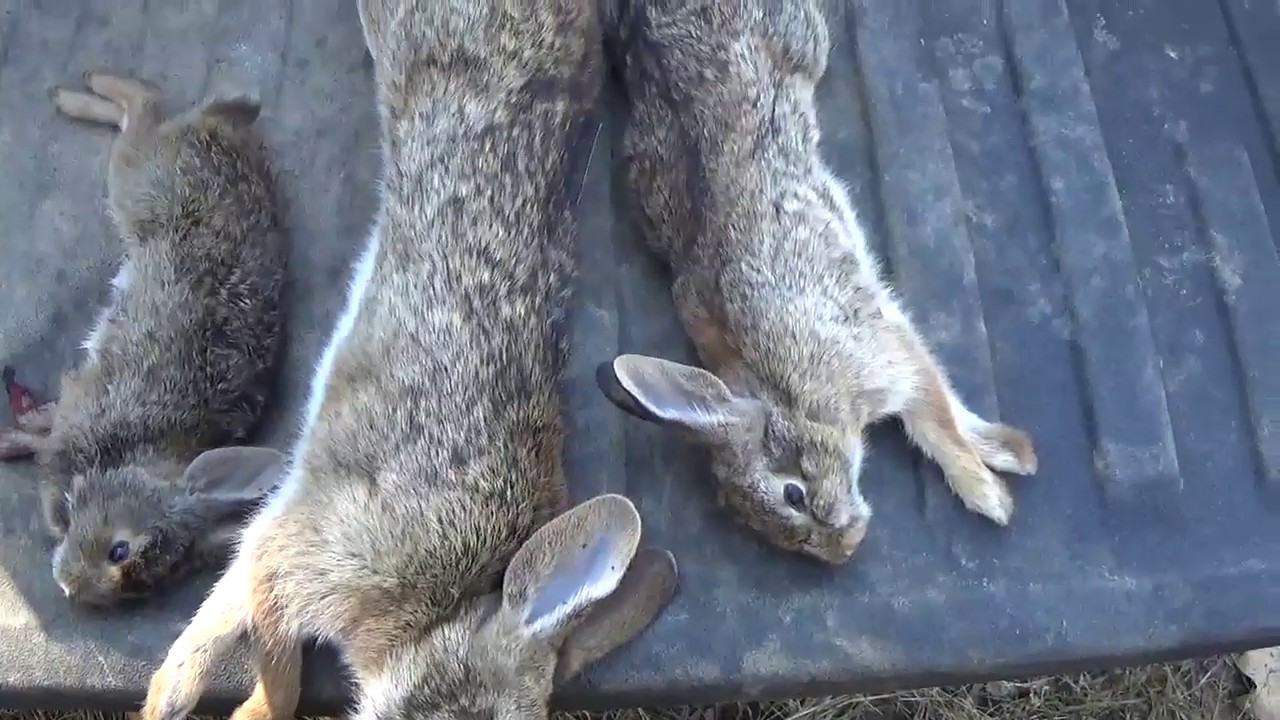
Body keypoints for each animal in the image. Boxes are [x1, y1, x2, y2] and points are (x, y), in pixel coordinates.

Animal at [0, 70, 288, 606]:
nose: (71, 589)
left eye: (138, 580)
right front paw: (12, 437)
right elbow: (49, 431)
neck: (133, 455)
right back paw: (80, 91)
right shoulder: (82, 412)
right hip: (136, 177)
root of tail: (220, 129)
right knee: (142, 110)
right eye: (120, 550)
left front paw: (14, 437)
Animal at [141, 3, 677, 720]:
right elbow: (275, 661)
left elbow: (227, 615)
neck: (439, 610)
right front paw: (209, 705)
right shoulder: (304, 559)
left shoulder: (279, 540)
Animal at [595, 0, 1039, 565]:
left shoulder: (884, 352)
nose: (846, 548)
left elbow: (936, 421)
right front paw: (1006, 461)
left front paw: (991, 488)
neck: (784, 393)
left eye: (794, 494)